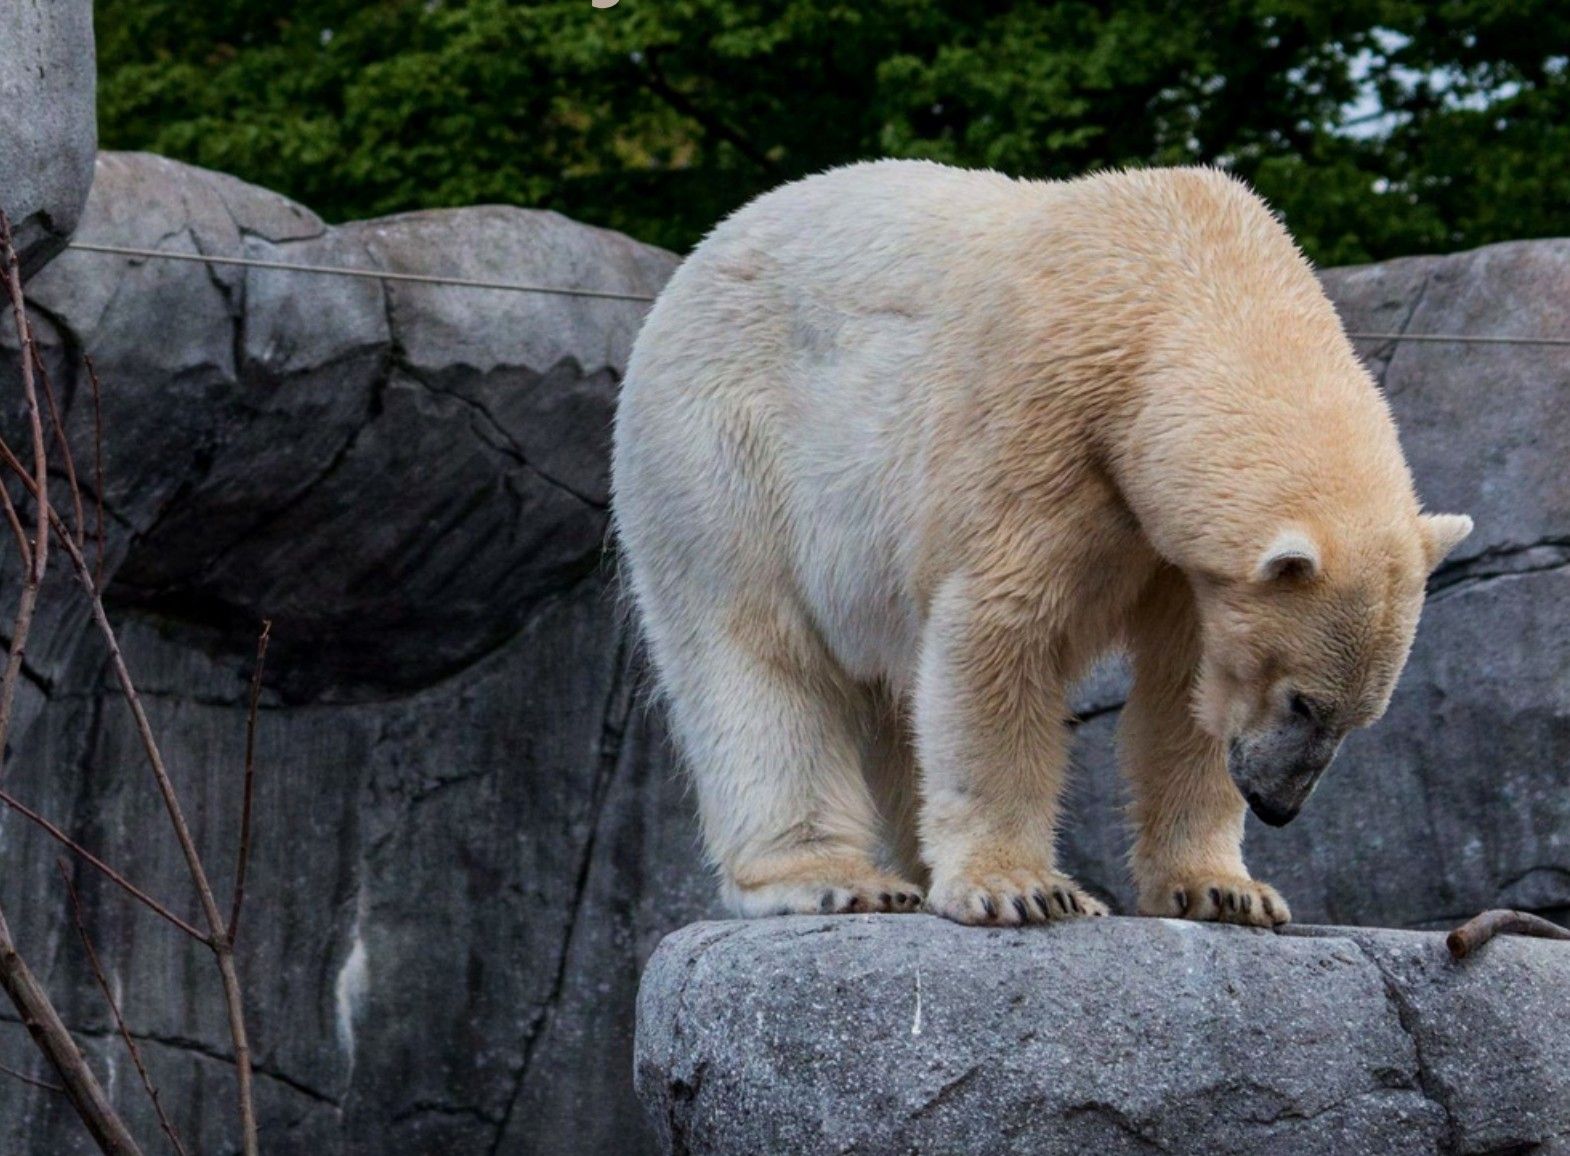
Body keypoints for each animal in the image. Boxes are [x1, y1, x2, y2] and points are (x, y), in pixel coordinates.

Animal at [611, 160, 1471, 927]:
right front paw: (1021, 889)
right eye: (1303, 701)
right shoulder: (1042, 422)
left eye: (1360, 718)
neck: (1181, 271)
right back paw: (834, 878)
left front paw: (1227, 892)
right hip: (721, 446)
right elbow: (999, 631)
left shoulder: (1171, 548)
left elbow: (1186, 683)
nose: (1278, 805)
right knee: (755, 648)